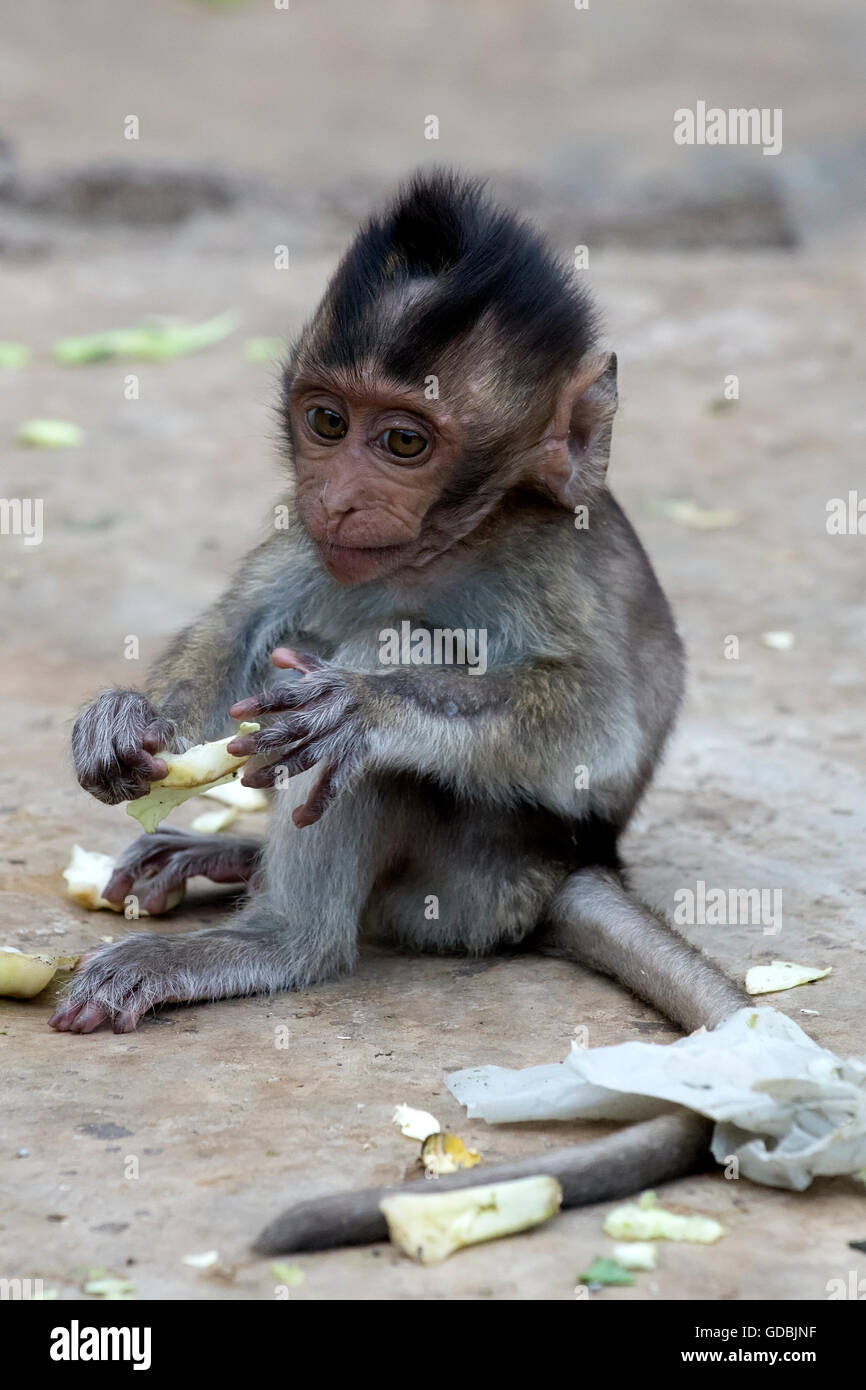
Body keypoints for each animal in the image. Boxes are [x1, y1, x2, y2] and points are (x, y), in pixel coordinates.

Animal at [51, 171, 748, 1234]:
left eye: (405, 442)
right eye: (327, 424)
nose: (339, 498)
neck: (448, 544)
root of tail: (567, 869)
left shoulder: (551, 558)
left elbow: (599, 725)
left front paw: (365, 711)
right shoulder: (301, 534)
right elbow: (241, 631)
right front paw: (129, 723)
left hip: (474, 875)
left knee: (389, 670)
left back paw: (274, 941)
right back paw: (228, 858)